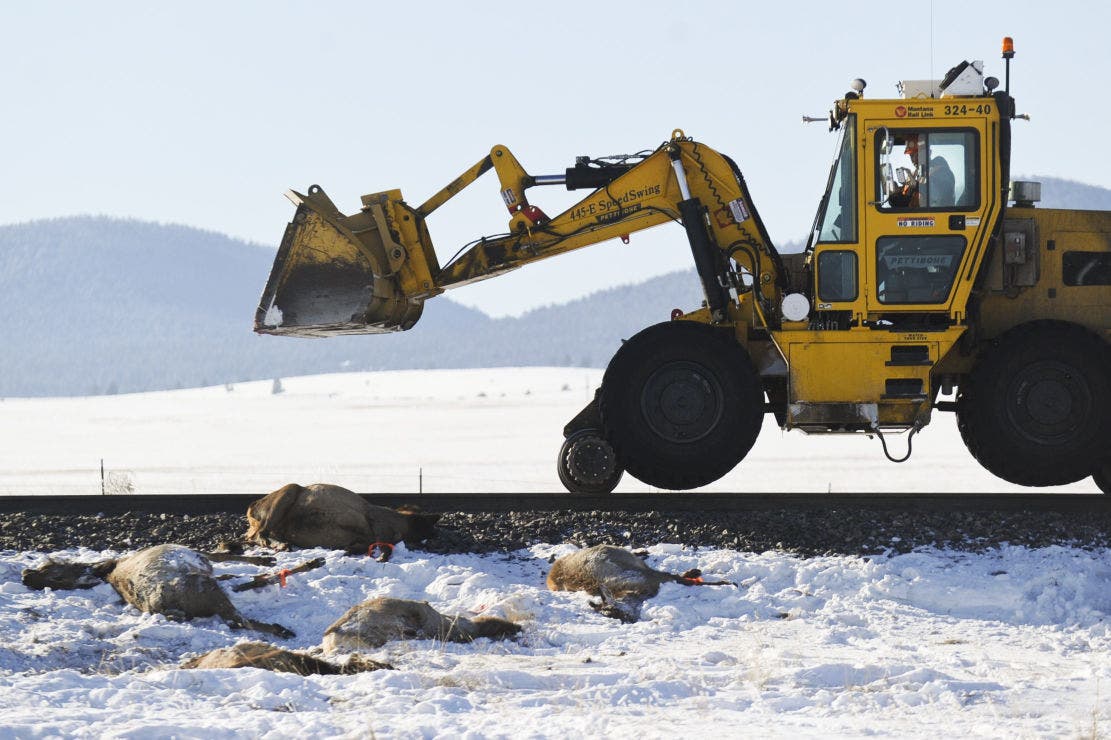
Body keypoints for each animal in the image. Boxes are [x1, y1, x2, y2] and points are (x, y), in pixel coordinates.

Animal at [22, 544, 294, 638]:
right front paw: (265, 561)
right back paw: (283, 629)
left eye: (51, 570)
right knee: (241, 620)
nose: (26, 575)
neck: (110, 568)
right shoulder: (200, 557)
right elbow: (225, 556)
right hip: (206, 587)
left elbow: (231, 572)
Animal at [242, 483, 440, 557]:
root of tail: (251, 509)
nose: (435, 533)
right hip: (287, 492)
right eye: (423, 522)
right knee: (256, 535)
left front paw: (349, 549)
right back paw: (279, 545)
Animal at [546, 544, 735, 623]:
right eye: (612, 614)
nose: (630, 619)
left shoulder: (649, 577)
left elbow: (680, 579)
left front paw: (726, 582)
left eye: (616, 612)